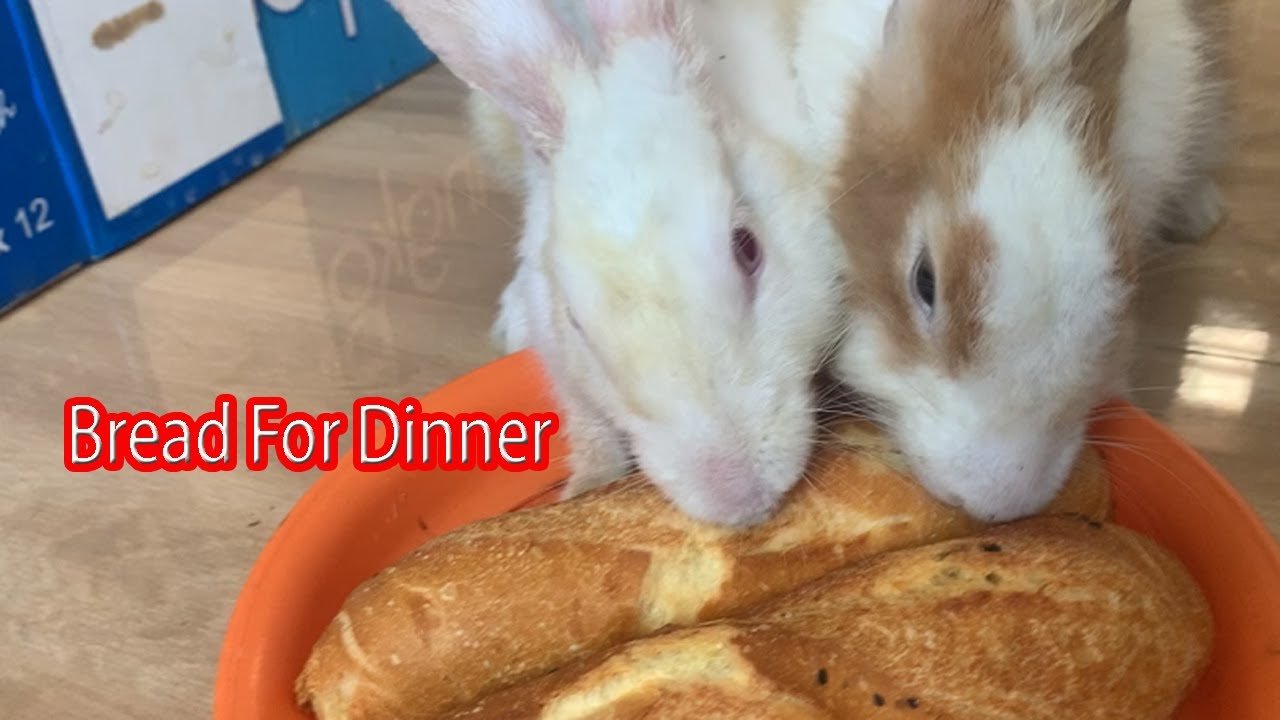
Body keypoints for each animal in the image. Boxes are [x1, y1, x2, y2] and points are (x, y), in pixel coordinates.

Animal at [388, 0, 848, 527]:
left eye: (748, 249)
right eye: (575, 321)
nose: (738, 499)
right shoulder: (559, 350)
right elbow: (586, 423)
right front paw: (590, 483)